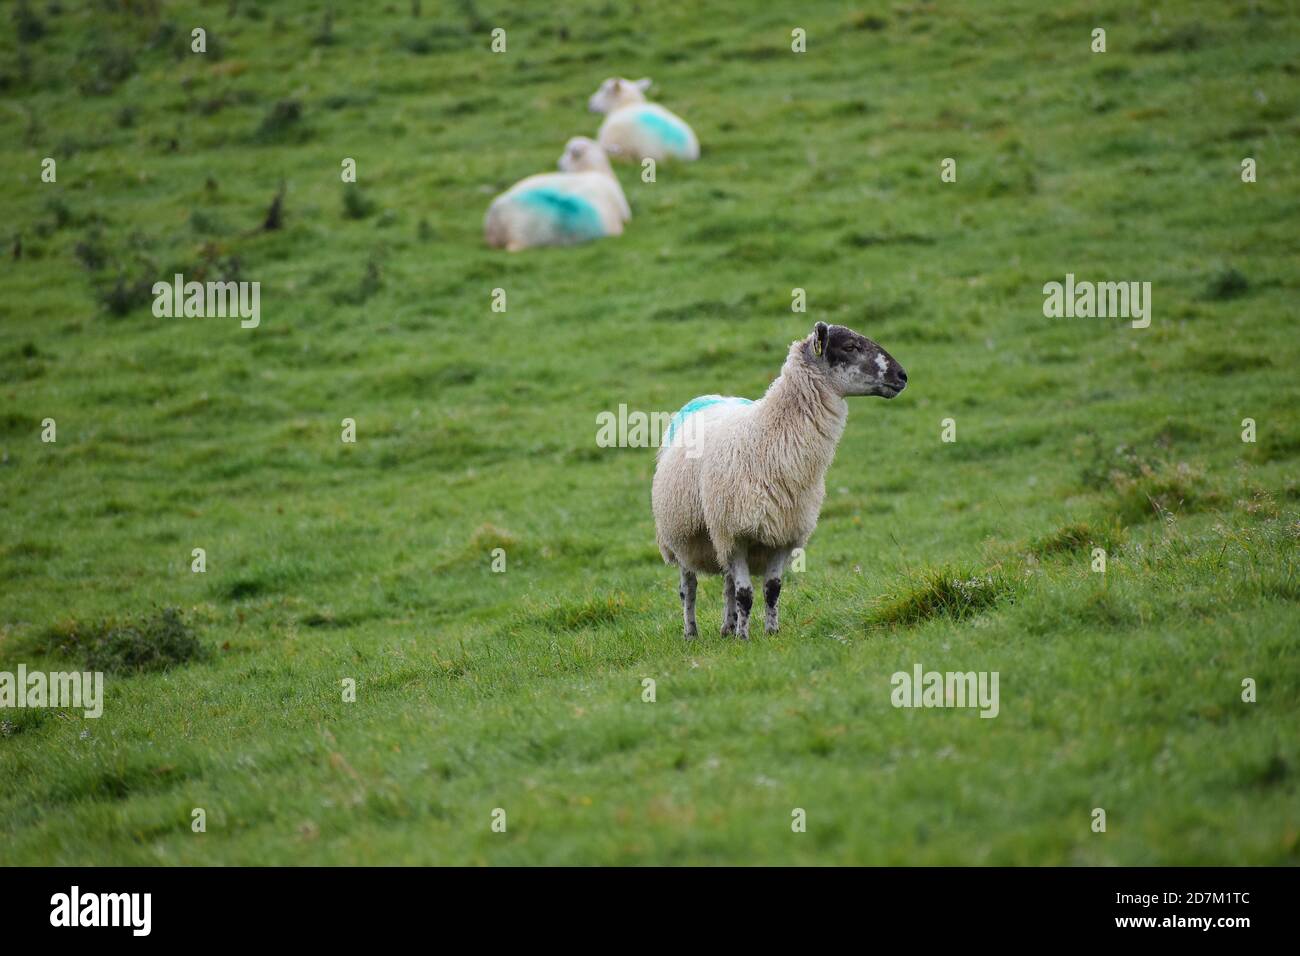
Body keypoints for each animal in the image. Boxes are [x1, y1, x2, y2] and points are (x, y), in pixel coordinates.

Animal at [651, 322, 908, 640]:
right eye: (850, 346)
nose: (902, 376)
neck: (769, 436)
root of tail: (711, 397)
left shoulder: (784, 533)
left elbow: (771, 589)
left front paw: (771, 633)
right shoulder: (736, 534)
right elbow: (745, 593)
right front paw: (745, 639)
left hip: (718, 534)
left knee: (726, 583)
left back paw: (727, 627)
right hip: (681, 533)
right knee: (689, 587)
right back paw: (692, 633)